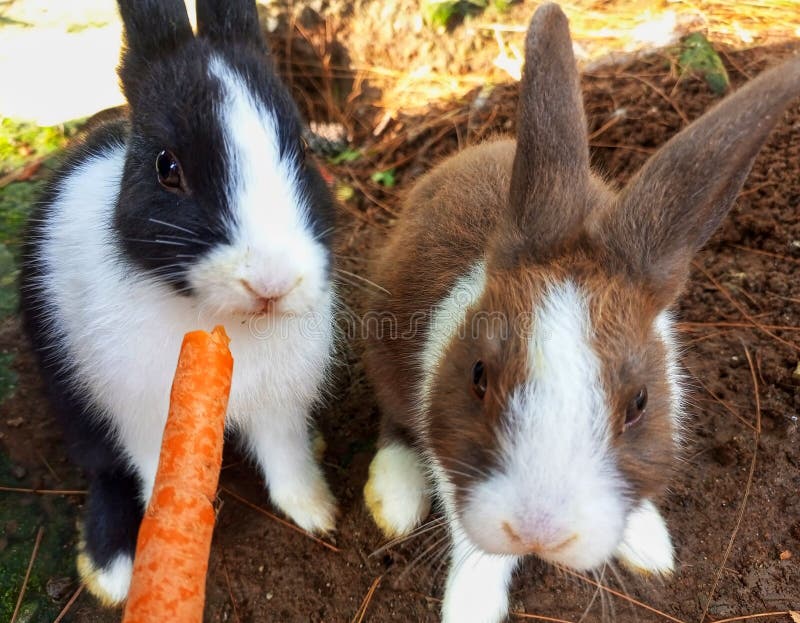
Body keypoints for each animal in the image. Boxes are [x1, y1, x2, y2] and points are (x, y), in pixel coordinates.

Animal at [20, 0, 338, 606]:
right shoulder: (143, 419)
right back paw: (111, 572)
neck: (224, 325)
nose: (272, 282)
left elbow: (286, 462)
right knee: (103, 470)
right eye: (167, 168)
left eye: (305, 149)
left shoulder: (280, 409)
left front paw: (318, 513)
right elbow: (148, 474)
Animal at [361, 4, 800, 622]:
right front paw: (469, 608)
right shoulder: (452, 451)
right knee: (393, 419)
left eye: (639, 402)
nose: (537, 531)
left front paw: (651, 549)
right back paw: (395, 501)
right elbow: (477, 549)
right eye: (479, 376)